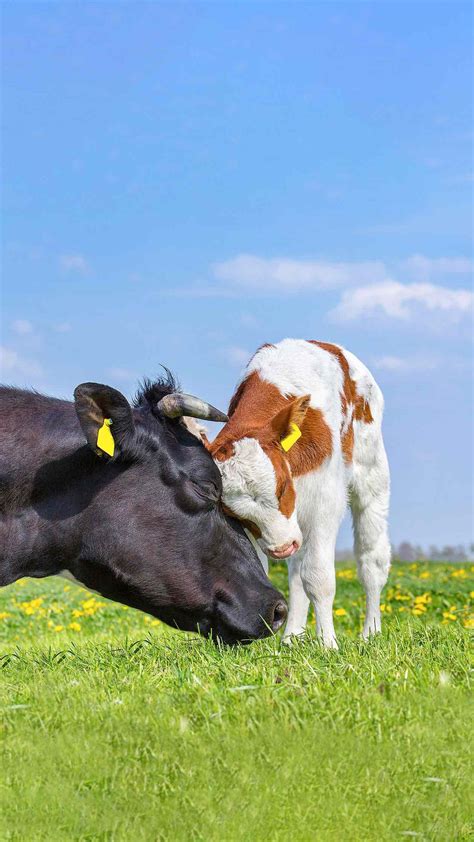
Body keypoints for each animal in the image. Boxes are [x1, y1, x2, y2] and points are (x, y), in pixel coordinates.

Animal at [209, 340, 391, 648]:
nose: (282, 548)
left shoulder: (324, 504)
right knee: (296, 572)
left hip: (371, 475)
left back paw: (371, 632)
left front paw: (328, 643)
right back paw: (292, 637)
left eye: (282, 487)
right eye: (235, 513)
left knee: (372, 561)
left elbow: (318, 577)